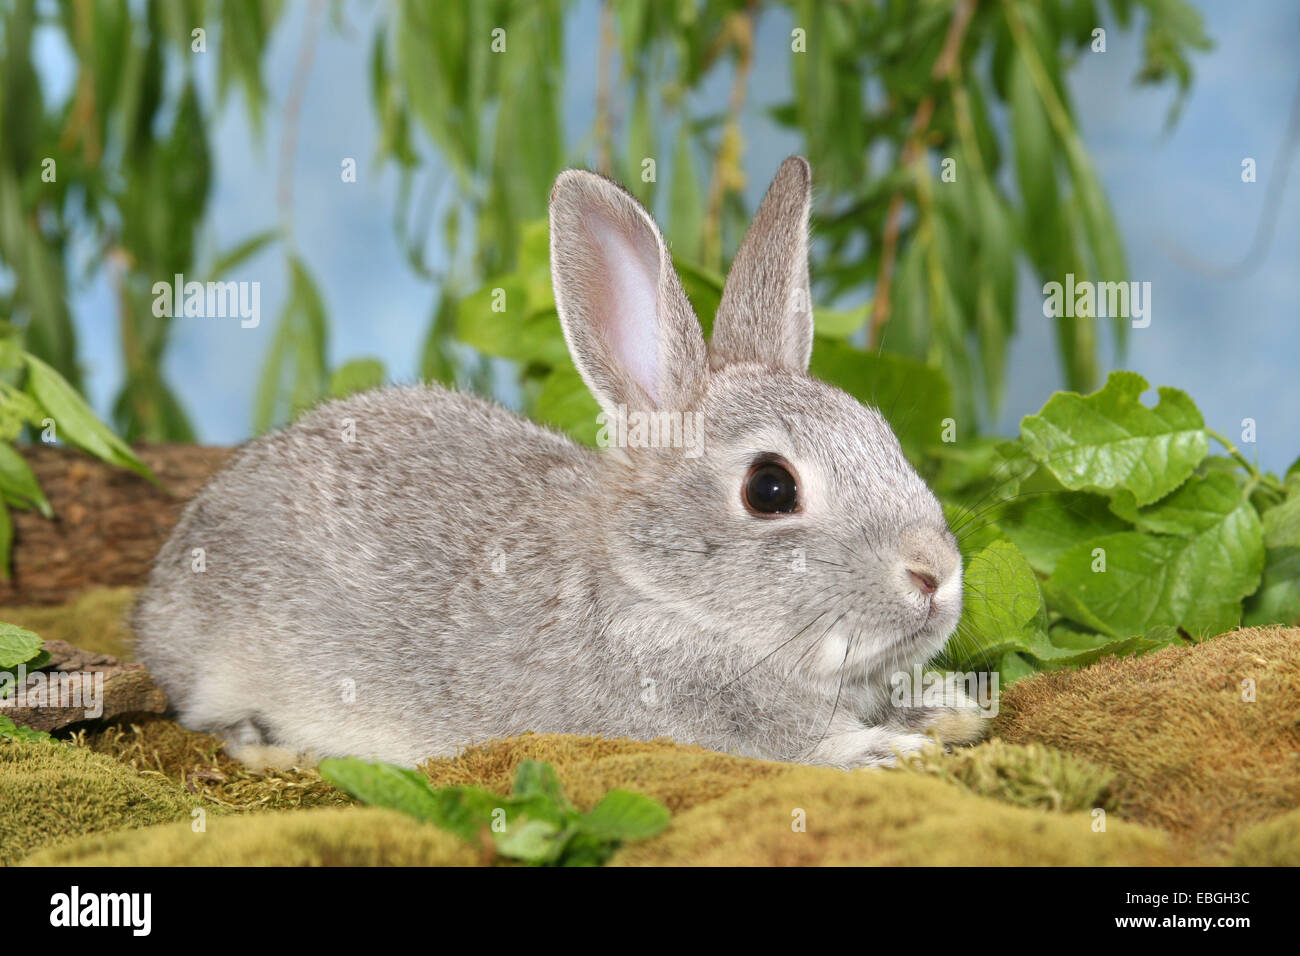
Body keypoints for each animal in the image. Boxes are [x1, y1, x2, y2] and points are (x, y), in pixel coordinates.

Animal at [132, 156, 986, 771]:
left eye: (881, 432)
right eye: (770, 487)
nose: (934, 574)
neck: (664, 595)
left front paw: (949, 707)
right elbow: (793, 745)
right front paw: (883, 749)